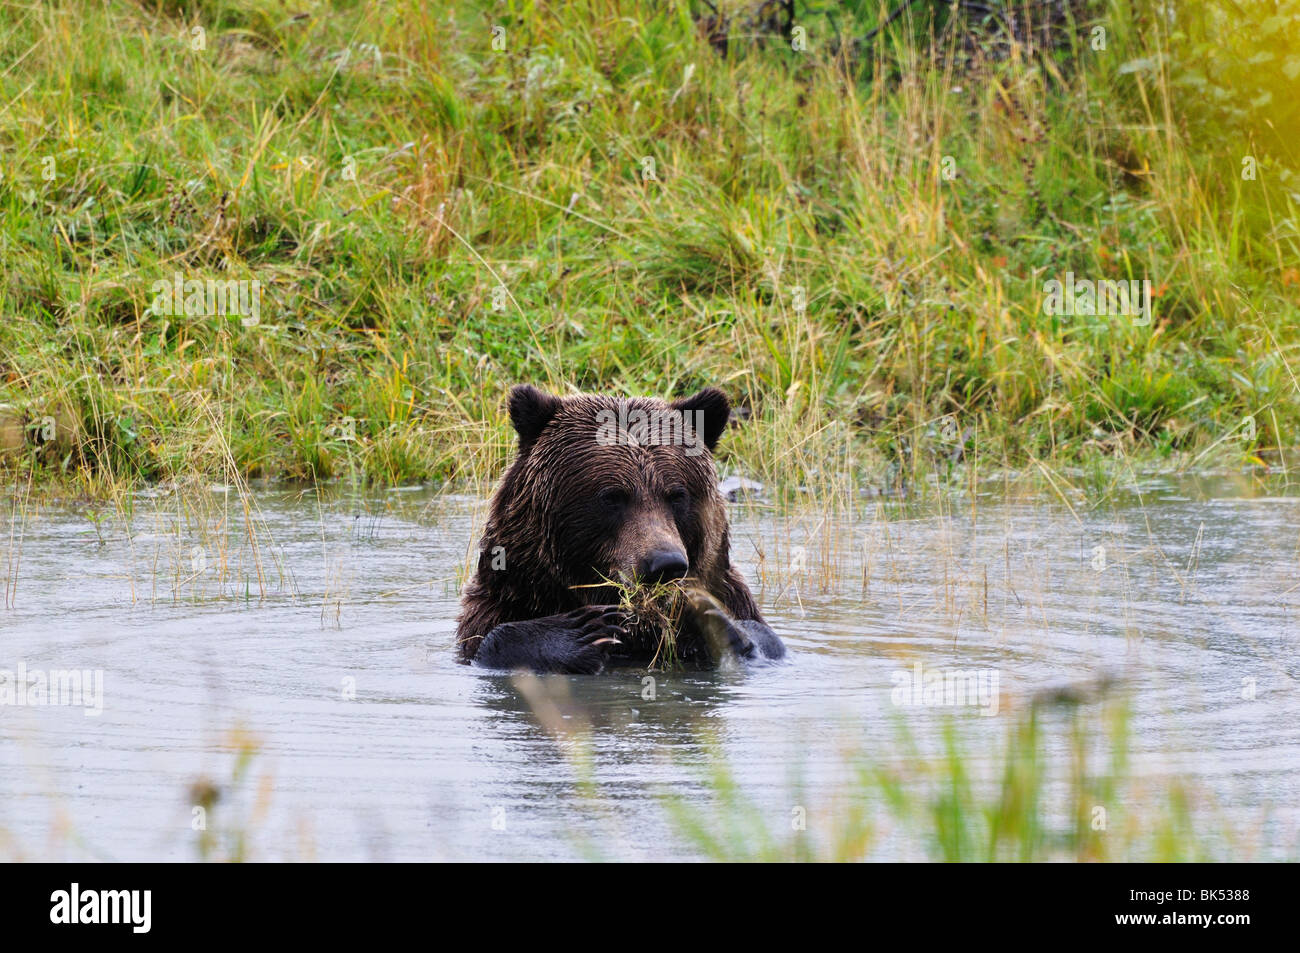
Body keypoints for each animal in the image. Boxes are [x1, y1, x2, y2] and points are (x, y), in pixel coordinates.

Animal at [456, 384, 786, 673]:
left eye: (677, 495)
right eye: (612, 496)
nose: (665, 564)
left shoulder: (733, 597)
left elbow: (763, 639)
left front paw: (703, 610)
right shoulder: (507, 599)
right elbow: (492, 640)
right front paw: (581, 631)